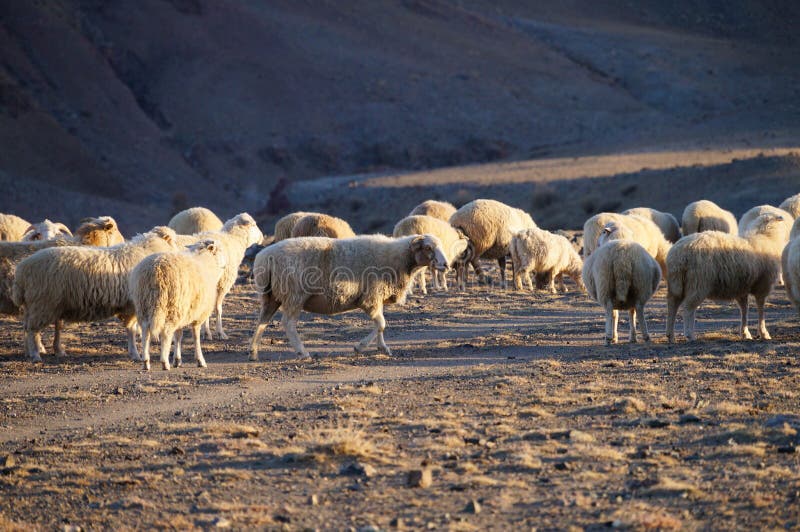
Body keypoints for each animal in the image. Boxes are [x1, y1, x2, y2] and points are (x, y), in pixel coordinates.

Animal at [11, 226, 178, 362]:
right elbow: (131, 329)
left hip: (33, 305)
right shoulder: (133, 305)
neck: (147, 249)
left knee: (26, 327)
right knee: (33, 330)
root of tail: (22, 270)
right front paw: (135, 354)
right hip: (42, 304)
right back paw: (35, 355)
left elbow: (131, 329)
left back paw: (28, 352)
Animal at [130, 239, 227, 371]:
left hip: (144, 306)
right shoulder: (198, 315)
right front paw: (200, 360)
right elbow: (195, 336)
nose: (225, 265)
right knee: (166, 333)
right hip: (172, 306)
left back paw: (146, 362)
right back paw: (164, 362)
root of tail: (155, 270)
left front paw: (177, 360)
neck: (206, 262)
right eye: (219, 250)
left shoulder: (184, 312)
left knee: (146, 332)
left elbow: (178, 335)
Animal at [249, 234, 448, 360]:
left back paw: (253, 352)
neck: (398, 259)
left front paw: (382, 348)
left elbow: (381, 325)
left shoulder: (377, 298)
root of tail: (265, 258)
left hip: (270, 296)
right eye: (428, 247)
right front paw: (359, 347)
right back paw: (302, 353)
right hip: (294, 294)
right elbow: (381, 324)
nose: (446, 264)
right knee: (288, 324)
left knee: (262, 321)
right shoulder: (371, 298)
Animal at [665, 213, 786, 342]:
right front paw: (764, 333)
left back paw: (671, 335)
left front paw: (745, 333)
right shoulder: (763, 285)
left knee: (672, 305)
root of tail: (679, 254)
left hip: (676, 282)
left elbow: (744, 309)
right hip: (698, 283)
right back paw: (690, 335)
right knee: (688, 308)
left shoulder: (742, 287)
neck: (767, 237)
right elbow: (760, 309)